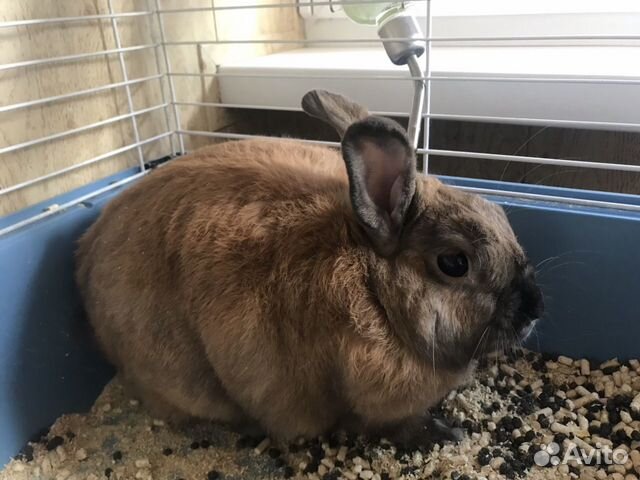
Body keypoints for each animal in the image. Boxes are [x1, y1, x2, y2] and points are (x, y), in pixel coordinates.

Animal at [75, 89, 544, 447]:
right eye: (454, 263)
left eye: (498, 213)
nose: (534, 309)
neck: (374, 290)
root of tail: (84, 259)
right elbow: (393, 424)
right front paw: (445, 434)